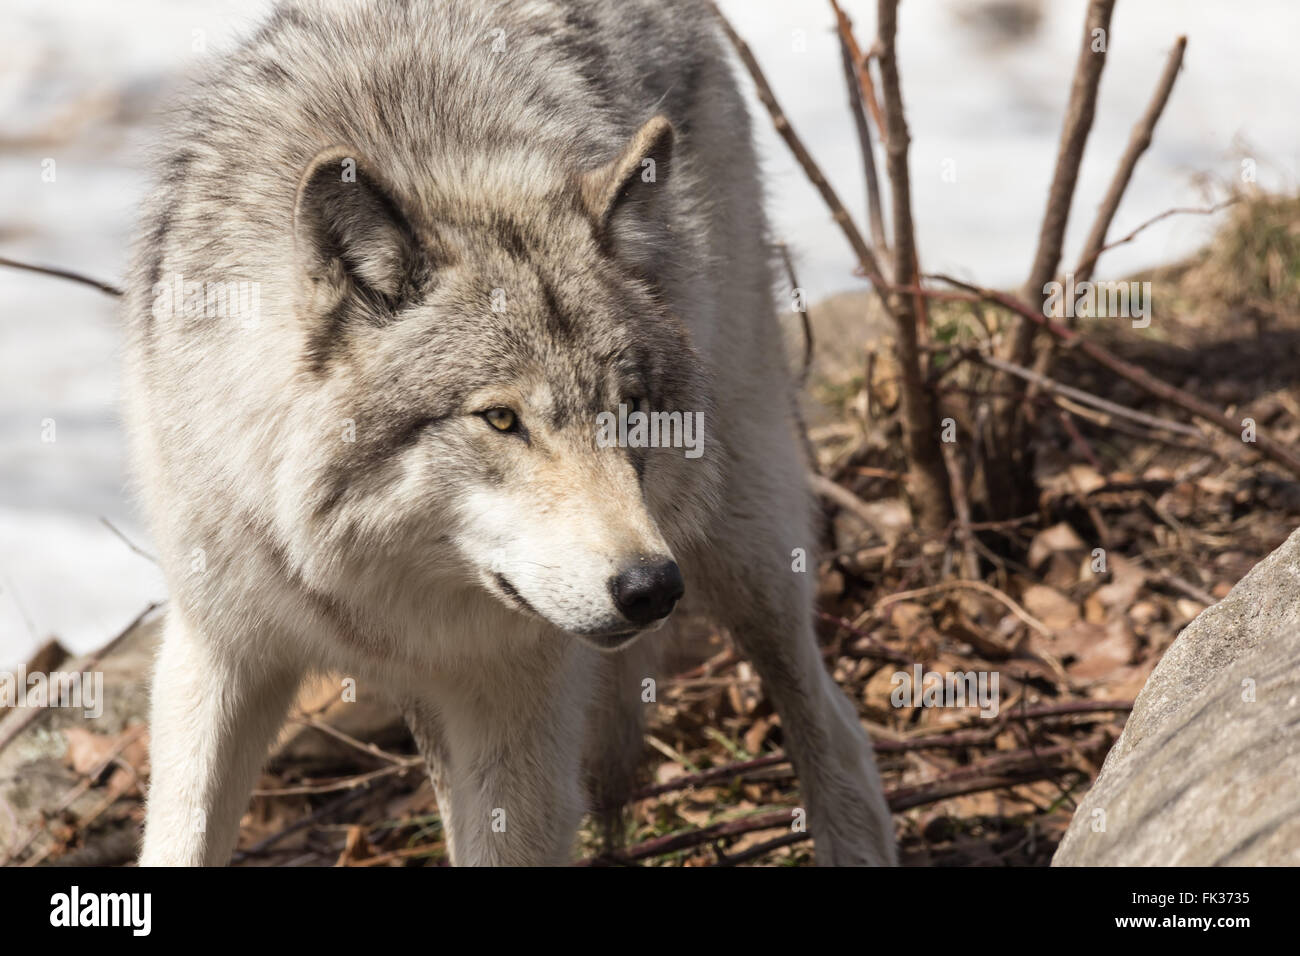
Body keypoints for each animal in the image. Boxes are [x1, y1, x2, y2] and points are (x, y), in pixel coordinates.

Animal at [125, 0, 895, 866]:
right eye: (501, 419)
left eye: (630, 407)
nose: (651, 589)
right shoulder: (217, 648)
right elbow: (181, 838)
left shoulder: (517, 692)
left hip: (747, 543)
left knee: (828, 715)